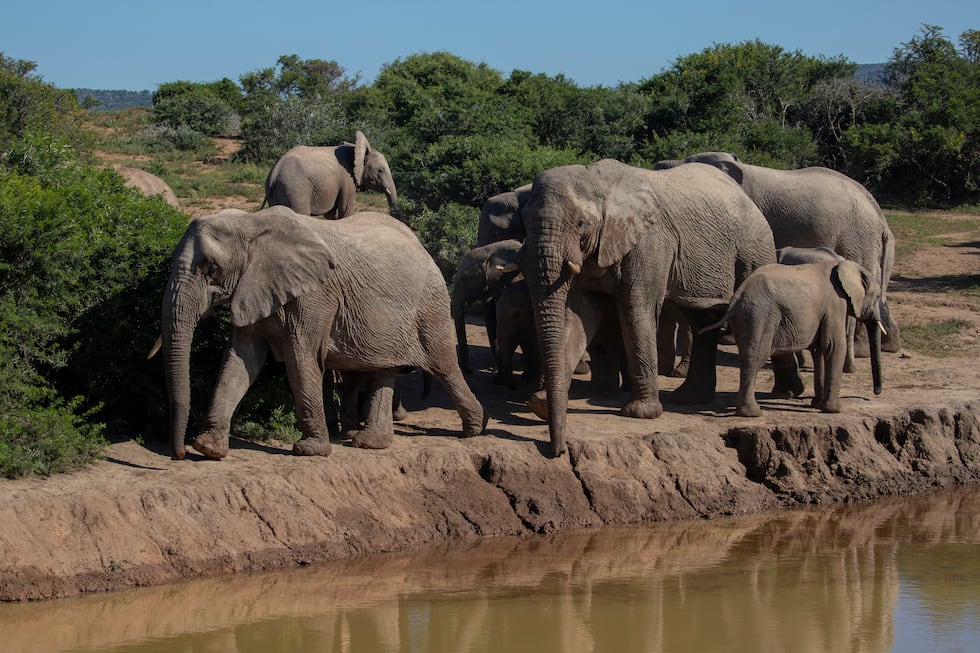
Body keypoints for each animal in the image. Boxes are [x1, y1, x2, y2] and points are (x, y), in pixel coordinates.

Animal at [160, 206, 485, 460]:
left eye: (212, 268)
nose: (179, 454)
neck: (252, 224)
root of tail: (424, 248)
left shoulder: (315, 295)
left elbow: (300, 357)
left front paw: (310, 450)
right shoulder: (251, 287)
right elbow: (239, 360)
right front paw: (208, 448)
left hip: (429, 304)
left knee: (444, 365)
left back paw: (474, 429)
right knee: (385, 372)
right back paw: (370, 443)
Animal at [261, 131, 397, 218]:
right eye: (380, 171)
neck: (355, 149)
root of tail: (274, 173)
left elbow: (331, 213)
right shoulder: (347, 178)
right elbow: (345, 209)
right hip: (295, 190)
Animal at [520, 158, 776, 456]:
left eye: (582, 223)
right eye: (524, 222)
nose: (557, 450)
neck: (598, 182)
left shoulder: (650, 241)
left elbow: (635, 306)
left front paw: (640, 414)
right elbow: (579, 315)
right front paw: (539, 404)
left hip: (754, 247)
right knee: (701, 321)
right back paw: (689, 399)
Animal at [700, 260, 883, 417]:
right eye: (877, 298)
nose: (876, 393)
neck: (843, 265)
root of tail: (736, 298)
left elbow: (819, 350)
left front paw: (816, 405)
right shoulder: (836, 304)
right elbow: (833, 346)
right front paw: (834, 410)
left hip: (748, 318)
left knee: (749, 357)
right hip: (759, 316)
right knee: (755, 358)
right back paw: (752, 413)